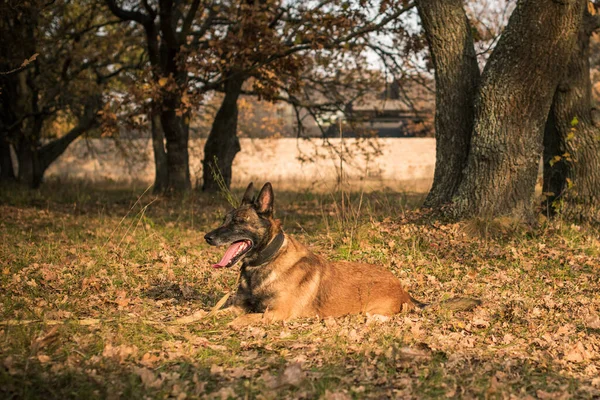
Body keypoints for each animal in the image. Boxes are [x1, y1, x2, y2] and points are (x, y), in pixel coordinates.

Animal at [204, 181, 480, 324]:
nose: (207, 237)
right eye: (225, 219)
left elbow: (238, 320)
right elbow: (209, 313)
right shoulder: (239, 306)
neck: (265, 262)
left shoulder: (276, 314)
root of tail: (403, 290)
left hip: (370, 313)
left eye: (239, 222)